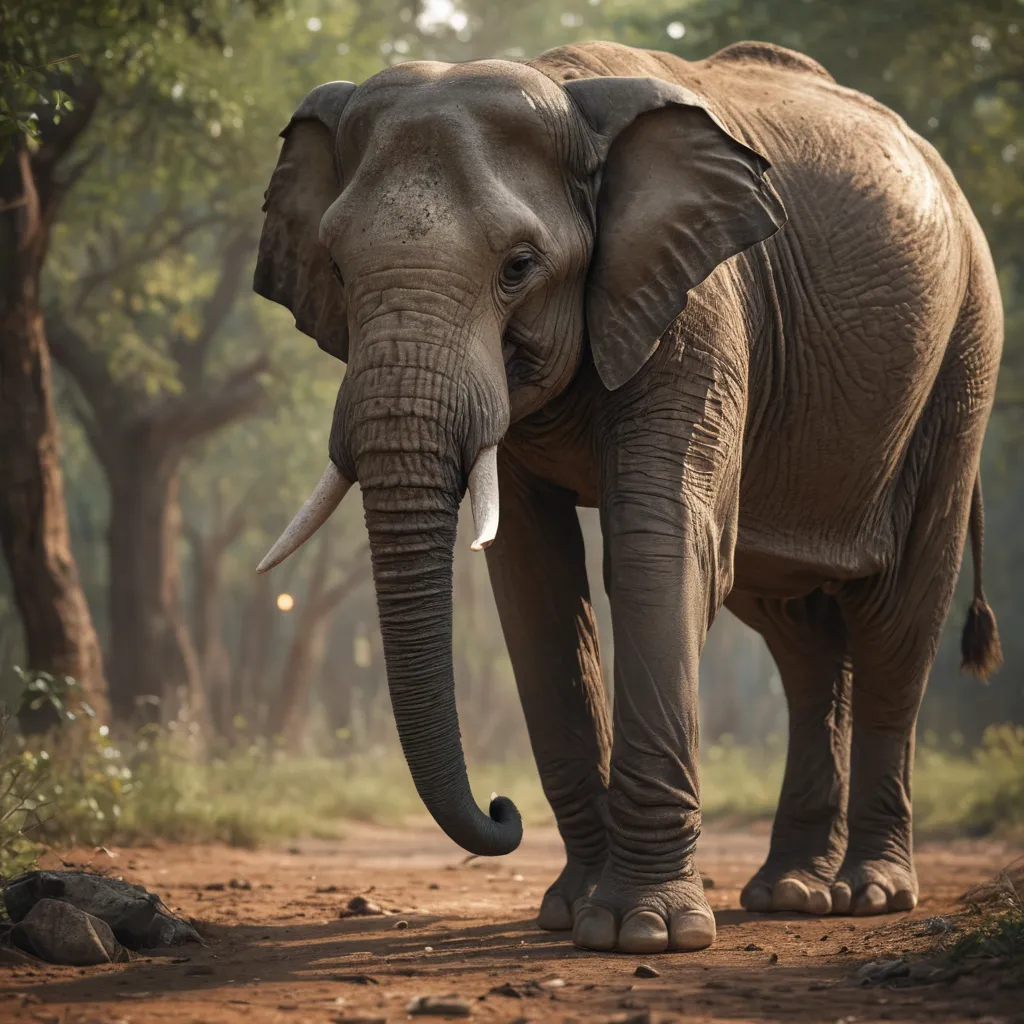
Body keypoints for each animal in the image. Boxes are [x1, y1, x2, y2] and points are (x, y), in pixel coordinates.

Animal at [252, 39, 1003, 954]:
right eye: (334, 266)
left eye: (518, 267)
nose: (500, 808)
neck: (569, 96)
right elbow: (531, 579)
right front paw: (568, 914)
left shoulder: (698, 309)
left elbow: (659, 544)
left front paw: (642, 932)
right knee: (798, 637)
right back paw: (789, 894)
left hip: (963, 359)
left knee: (897, 617)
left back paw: (869, 894)